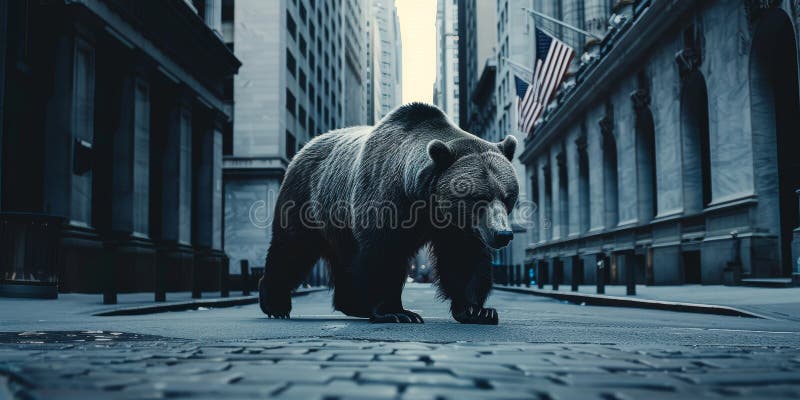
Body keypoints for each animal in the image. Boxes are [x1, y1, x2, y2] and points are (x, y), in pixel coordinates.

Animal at [258, 102, 519, 324]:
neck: (420, 197)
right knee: (292, 248)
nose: (503, 234)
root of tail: (304, 148)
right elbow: (383, 253)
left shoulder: (456, 224)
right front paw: (397, 312)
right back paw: (275, 304)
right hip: (306, 199)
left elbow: (462, 257)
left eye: (508, 197)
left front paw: (478, 310)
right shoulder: (386, 197)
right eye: (479, 198)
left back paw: (353, 304)